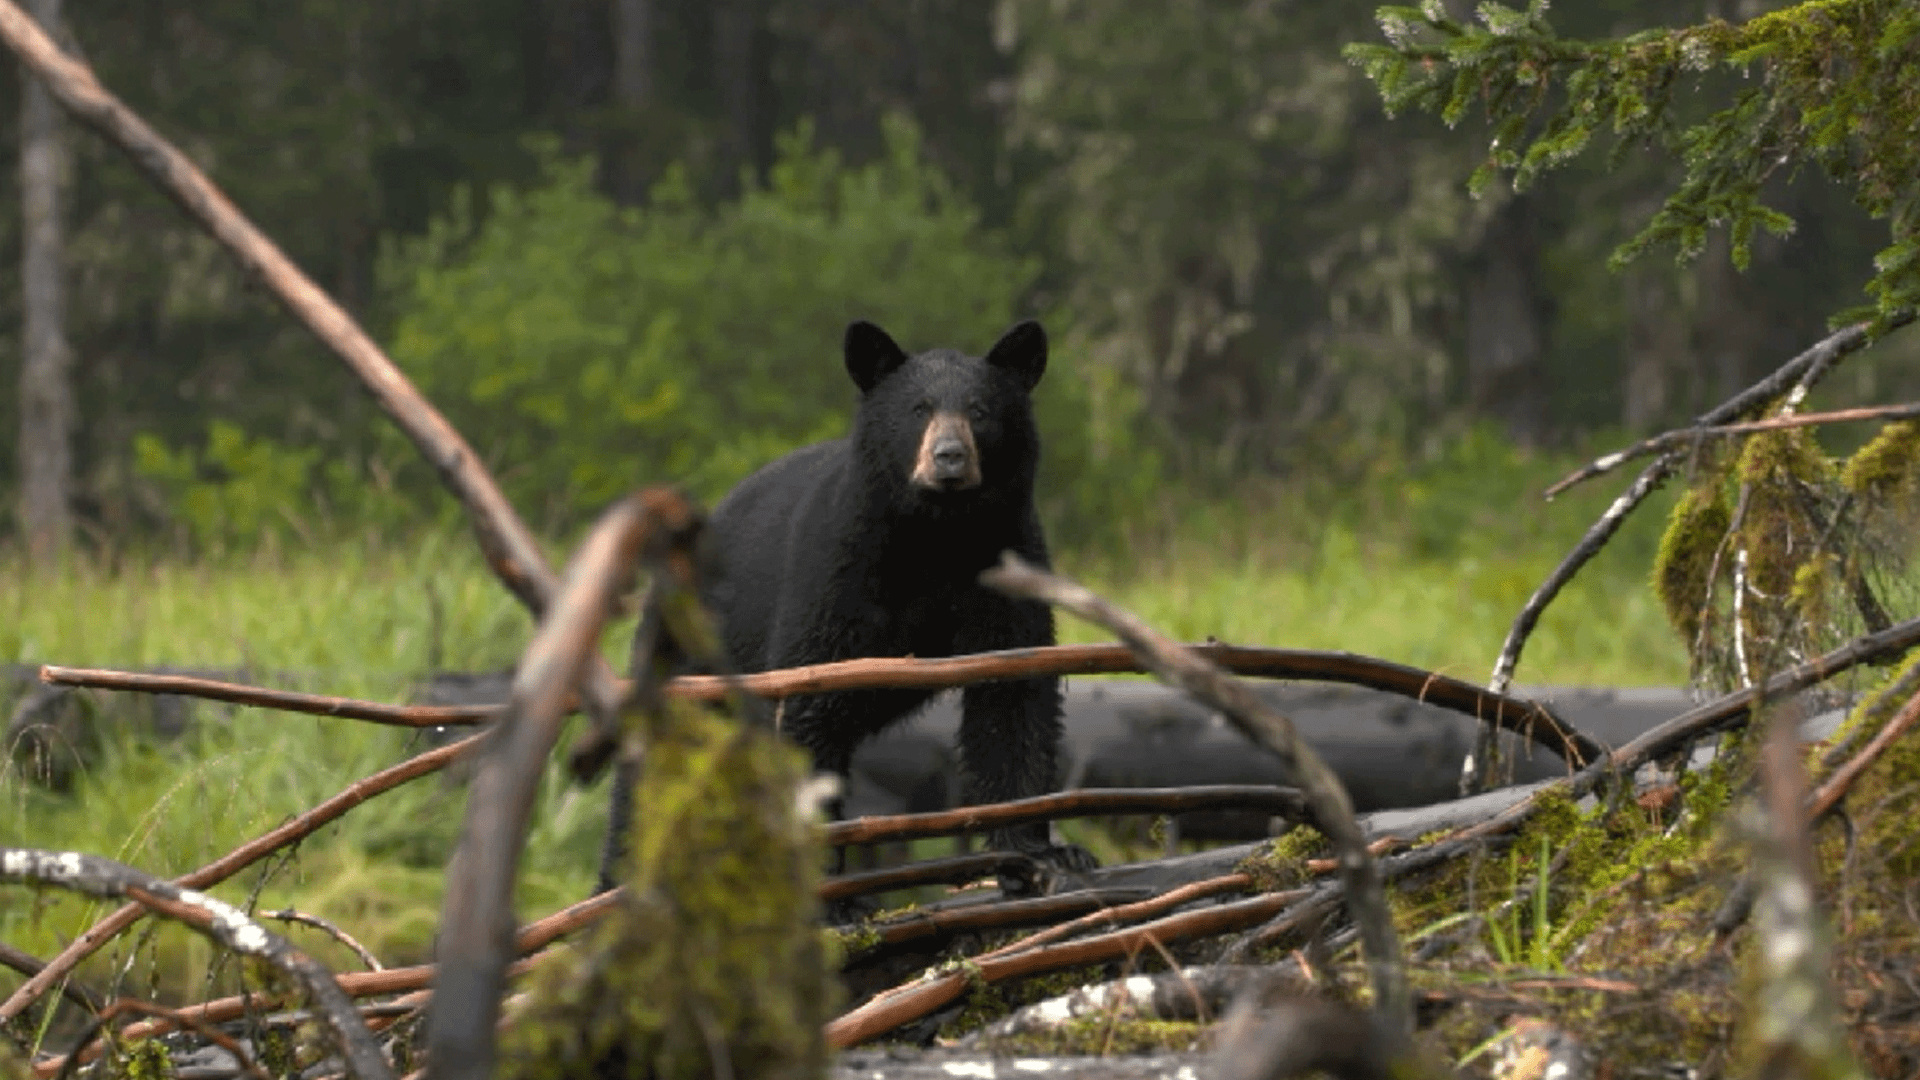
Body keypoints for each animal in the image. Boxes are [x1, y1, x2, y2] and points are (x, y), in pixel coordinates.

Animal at [637, 318, 1091, 890]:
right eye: (918, 408)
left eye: (980, 410)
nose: (949, 457)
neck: (938, 535)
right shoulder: (840, 570)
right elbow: (812, 698)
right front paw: (824, 875)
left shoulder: (1008, 559)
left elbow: (1013, 694)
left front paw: (1043, 852)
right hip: (690, 652)